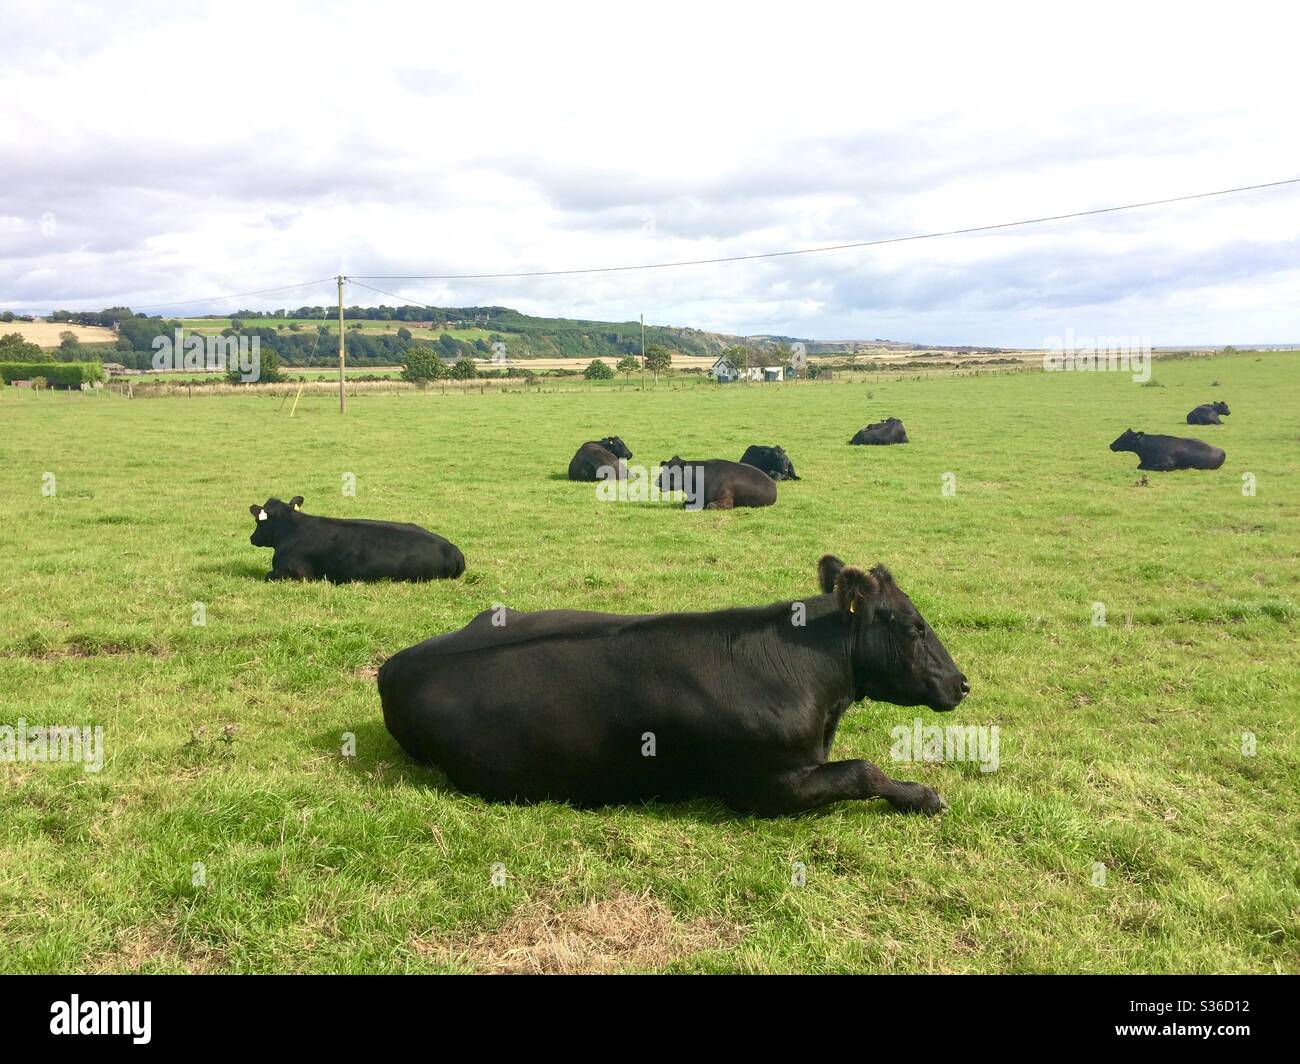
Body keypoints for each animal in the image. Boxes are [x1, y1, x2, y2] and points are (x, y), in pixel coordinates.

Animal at [378, 554, 968, 816]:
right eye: (914, 625)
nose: (962, 684)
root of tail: (393, 665)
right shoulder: (764, 785)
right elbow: (864, 771)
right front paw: (925, 796)